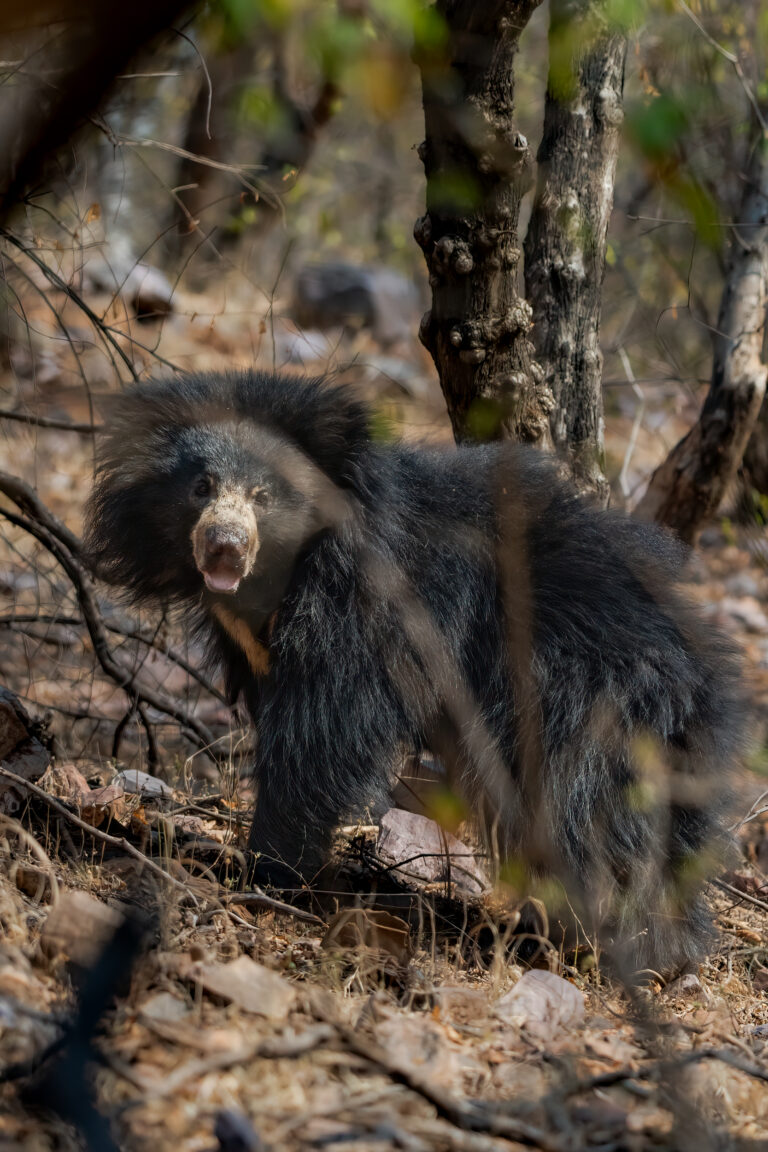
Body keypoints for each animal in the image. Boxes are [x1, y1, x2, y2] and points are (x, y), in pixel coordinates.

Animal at [84, 370, 747, 976]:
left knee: (591, 825)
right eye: (201, 486)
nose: (223, 546)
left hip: (583, 706)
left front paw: (265, 871)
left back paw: (625, 949)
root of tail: (701, 680)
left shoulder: (368, 613)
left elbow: (322, 736)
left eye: (263, 495)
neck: (288, 572)